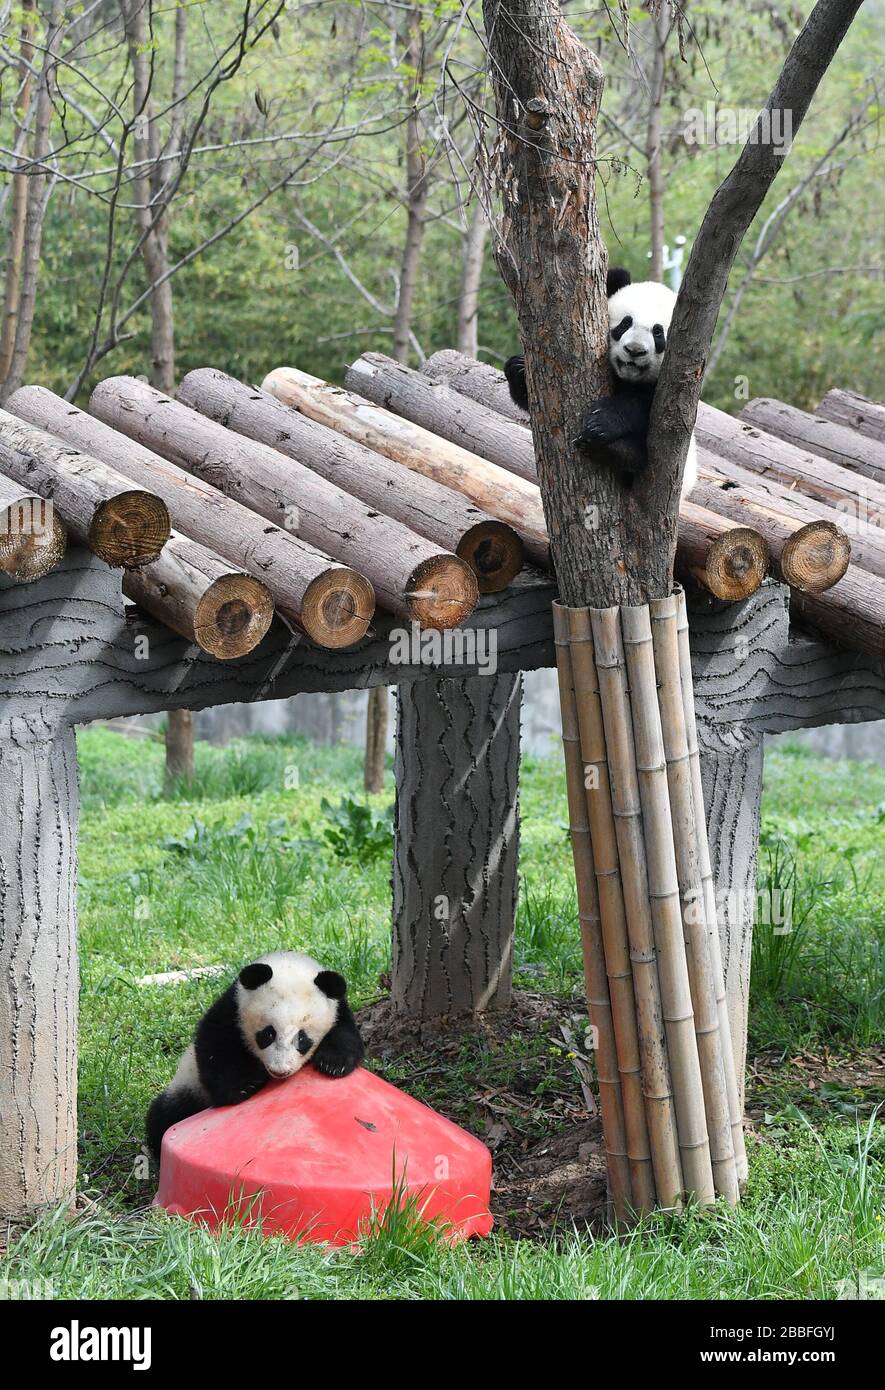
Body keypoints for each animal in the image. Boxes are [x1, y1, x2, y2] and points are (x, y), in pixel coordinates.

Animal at [146, 950, 364, 1164]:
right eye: (268, 1034)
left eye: (302, 1039)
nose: (279, 1070)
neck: (289, 962)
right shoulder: (232, 1009)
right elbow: (216, 1048)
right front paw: (242, 1087)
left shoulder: (338, 1010)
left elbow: (346, 1035)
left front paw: (333, 1064)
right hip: (189, 1086)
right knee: (166, 1114)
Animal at [503, 266, 697, 494]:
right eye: (625, 323)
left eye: (658, 333)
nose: (634, 350)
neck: (627, 379)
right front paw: (518, 368)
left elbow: (648, 407)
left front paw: (601, 421)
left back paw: (617, 450)